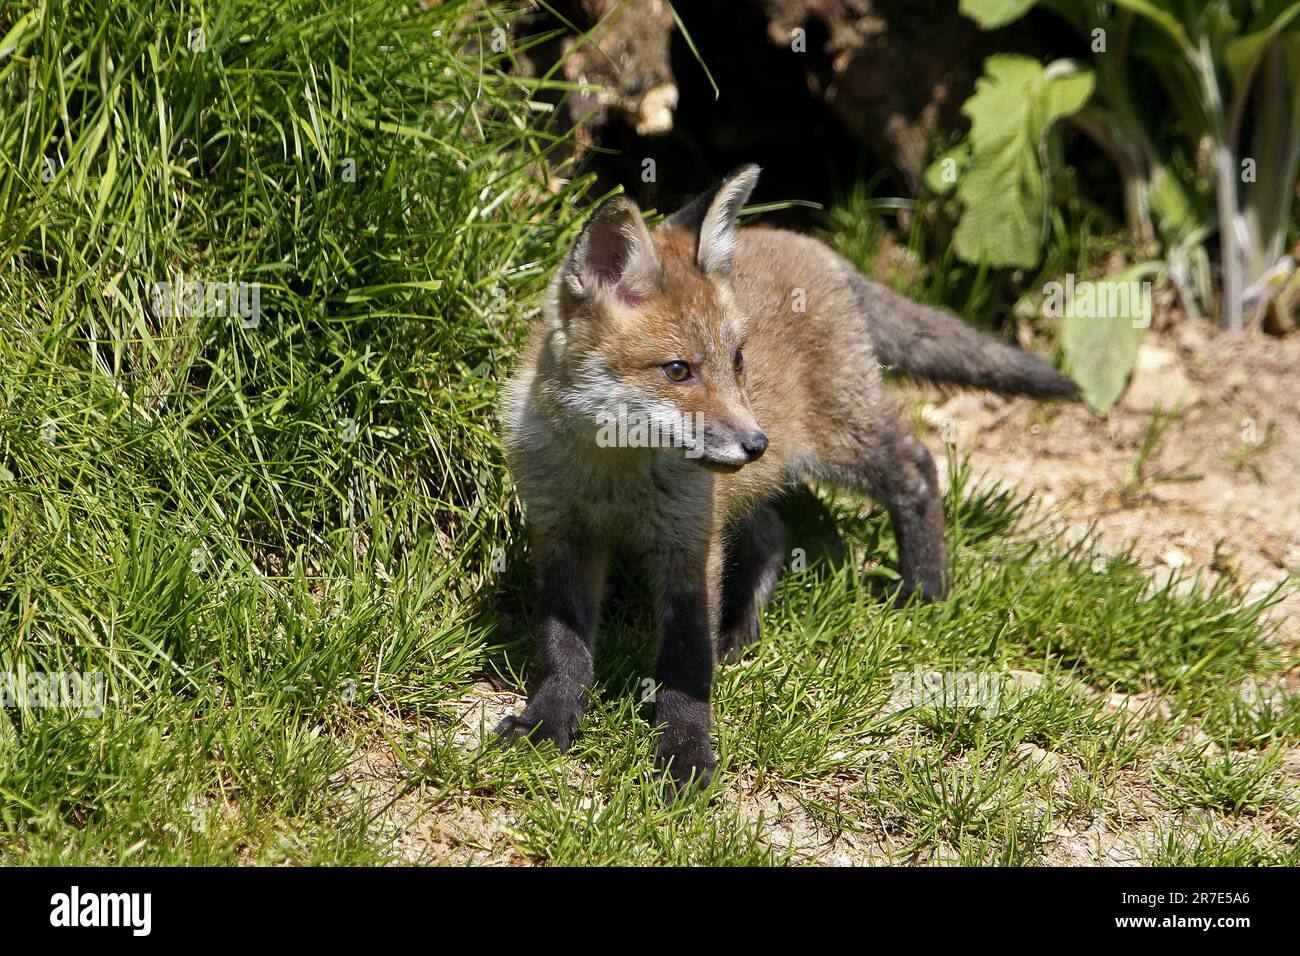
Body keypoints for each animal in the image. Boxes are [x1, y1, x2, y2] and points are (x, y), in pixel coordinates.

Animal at [496, 164, 1078, 793]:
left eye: (737, 361)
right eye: (678, 370)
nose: (757, 443)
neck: (613, 476)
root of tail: (812, 244)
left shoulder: (688, 546)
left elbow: (685, 665)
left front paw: (685, 753)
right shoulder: (562, 533)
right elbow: (564, 648)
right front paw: (549, 719)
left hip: (843, 443)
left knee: (917, 469)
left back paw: (924, 590)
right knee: (775, 531)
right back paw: (741, 631)